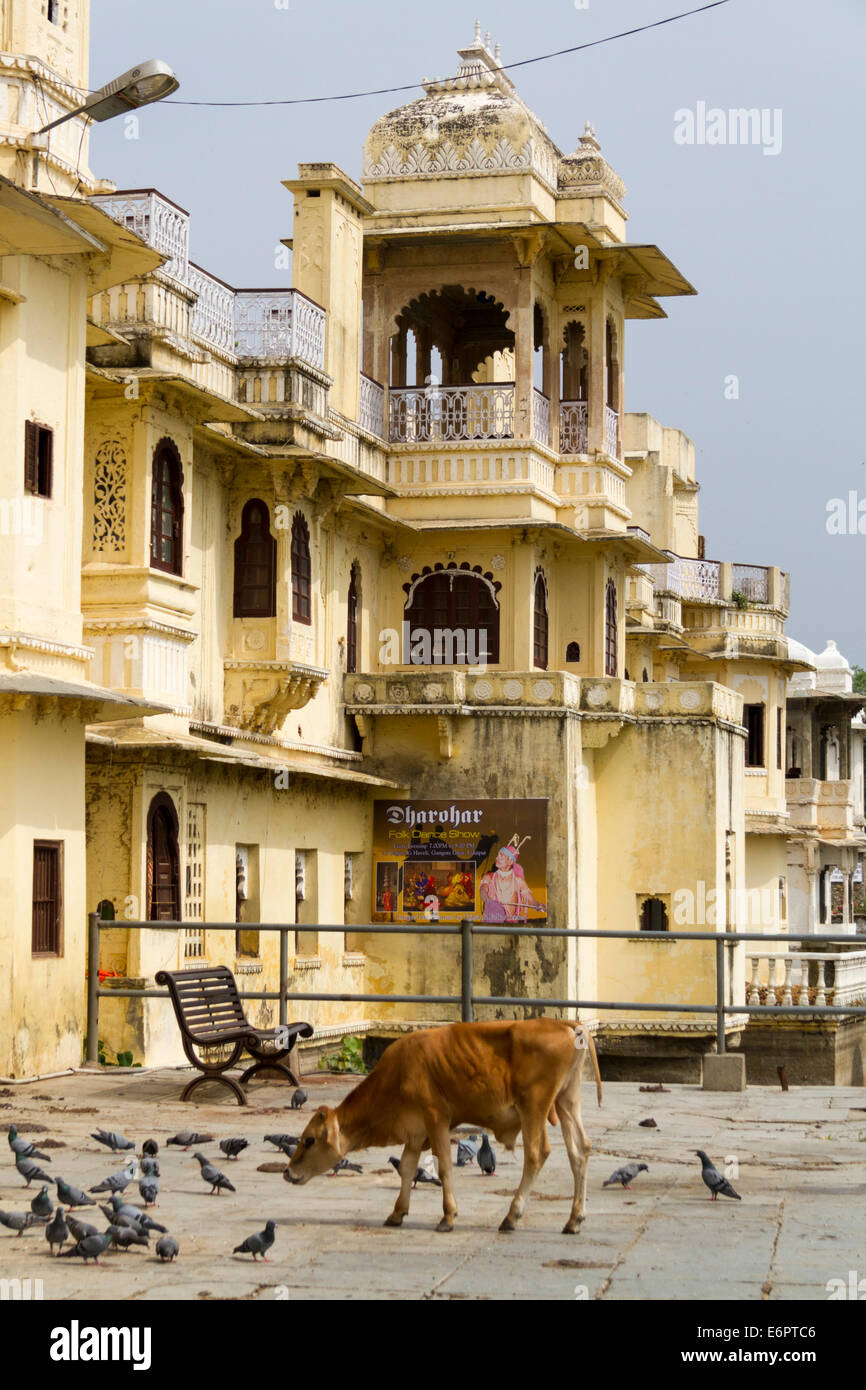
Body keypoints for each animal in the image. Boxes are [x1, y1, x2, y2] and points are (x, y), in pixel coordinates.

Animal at [286, 1018, 602, 1234]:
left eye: (310, 1140)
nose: (288, 1173)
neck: (398, 1073)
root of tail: (567, 1024)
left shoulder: (436, 1119)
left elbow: (445, 1166)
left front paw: (448, 1216)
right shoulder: (415, 1131)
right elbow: (407, 1166)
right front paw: (398, 1212)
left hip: (534, 1108)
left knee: (536, 1155)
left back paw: (512, 1216)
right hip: (567, 1101)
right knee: (579, 1152)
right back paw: (574, 1219)